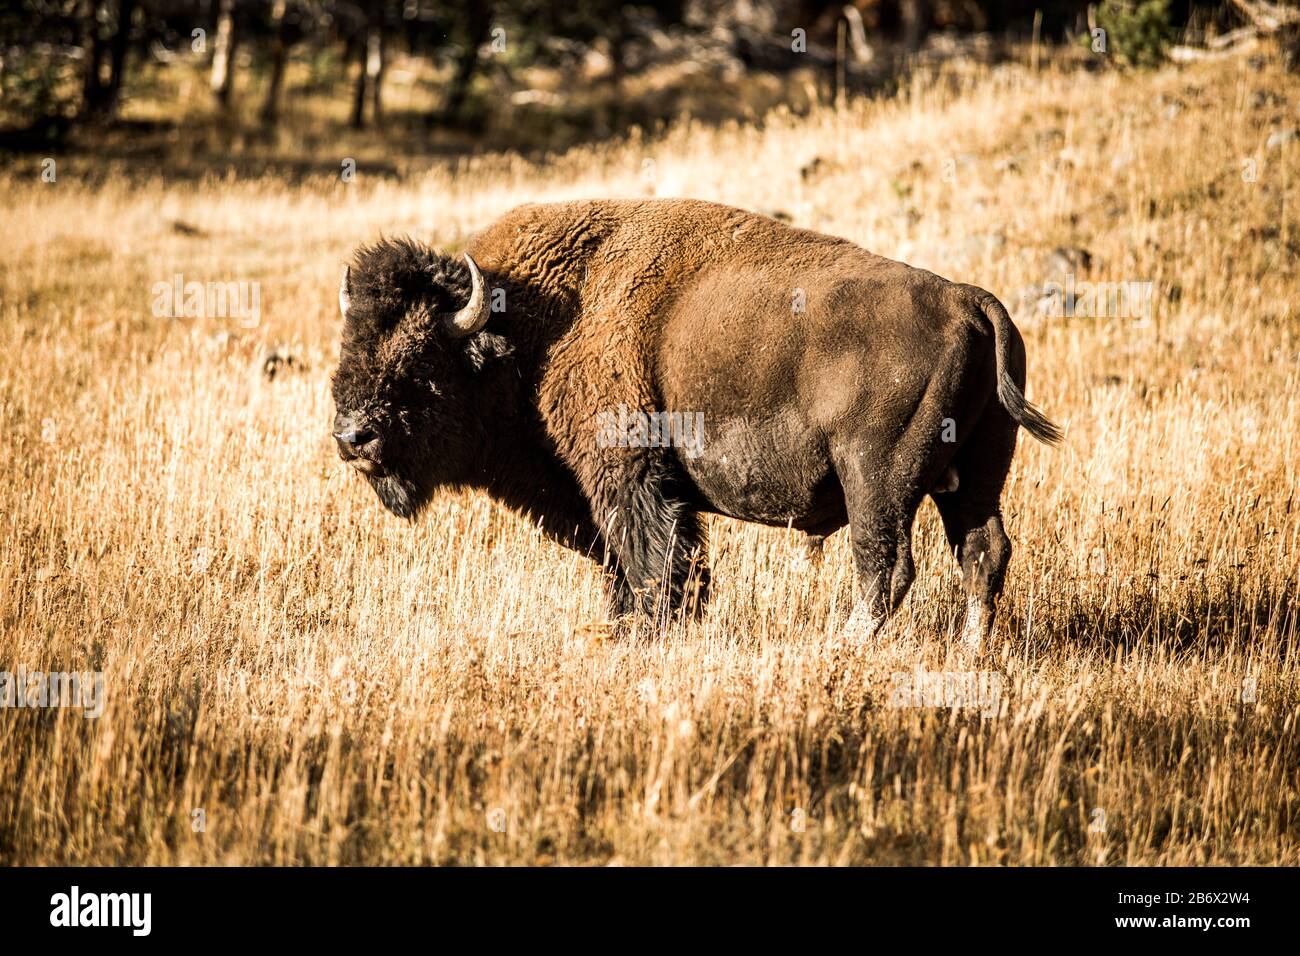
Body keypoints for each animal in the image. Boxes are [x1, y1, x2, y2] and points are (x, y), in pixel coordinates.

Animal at [331, 199, 1059, 648]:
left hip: (875, 480)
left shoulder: (629, 478)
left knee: (885, 566)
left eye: (421, 359)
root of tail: (970, 301)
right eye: (351, 344)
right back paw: (971, 651)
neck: (529, 328)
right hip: (976, 476)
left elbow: (654, 560)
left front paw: (650, 630)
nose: (351, 437)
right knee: (983, 553)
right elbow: (633, 565)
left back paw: (846, 645)